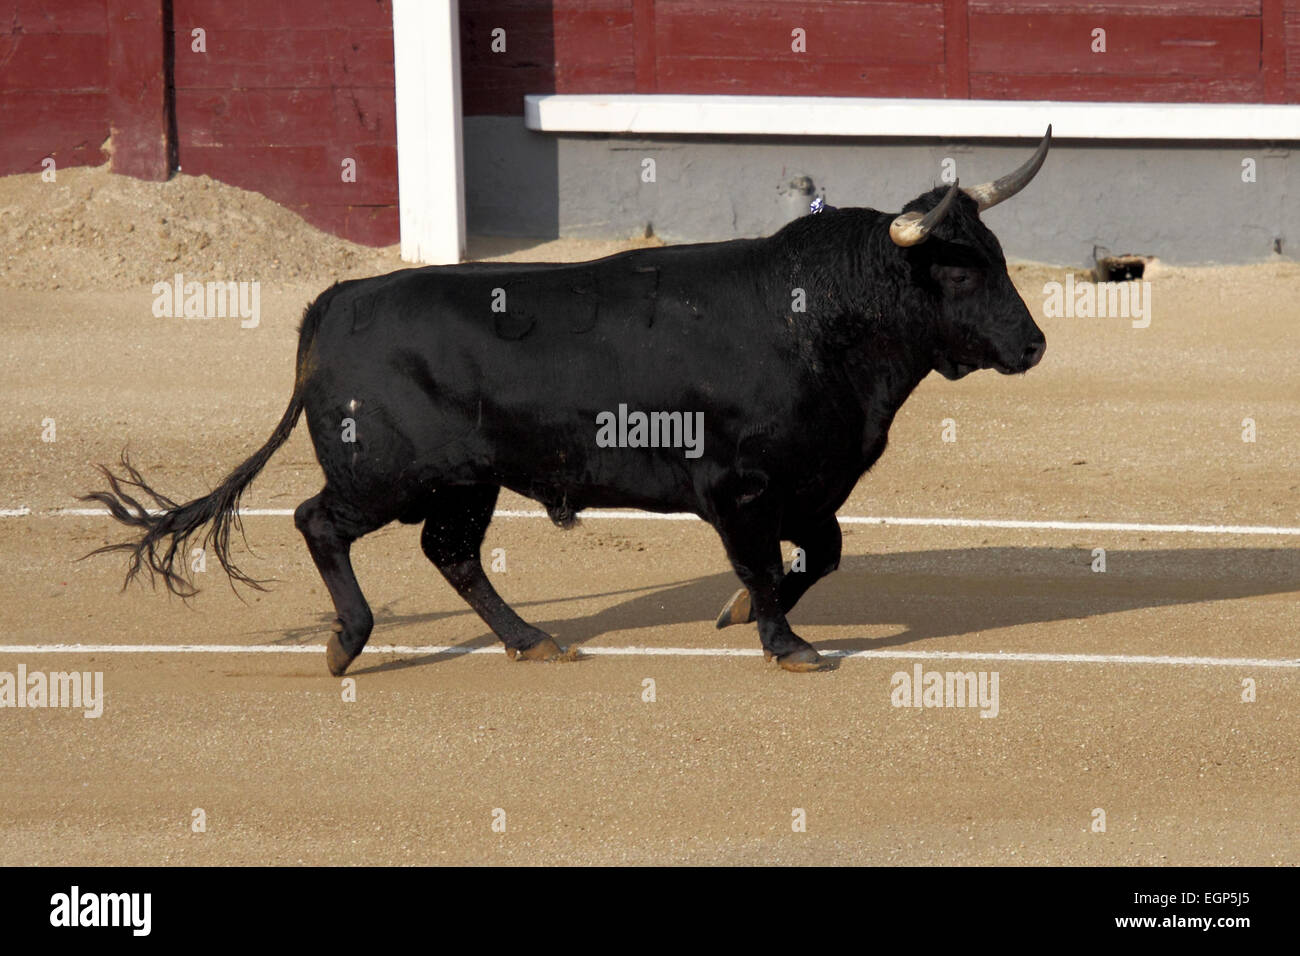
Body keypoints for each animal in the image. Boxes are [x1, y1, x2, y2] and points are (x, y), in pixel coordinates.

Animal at [85, 128, 1052, 674]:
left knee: (452, 554)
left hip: (467, 482)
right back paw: (346, 641)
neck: (819, 318)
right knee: (320, 522)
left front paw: (745, 616)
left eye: (999, 254)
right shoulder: (738, 491)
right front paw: (785, 645)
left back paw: (530, 640)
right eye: (958, 270)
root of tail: (338, 299)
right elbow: (766, 565)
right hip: (388, 475)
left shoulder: (813, 484)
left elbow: (820, 555)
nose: (1035, 345)